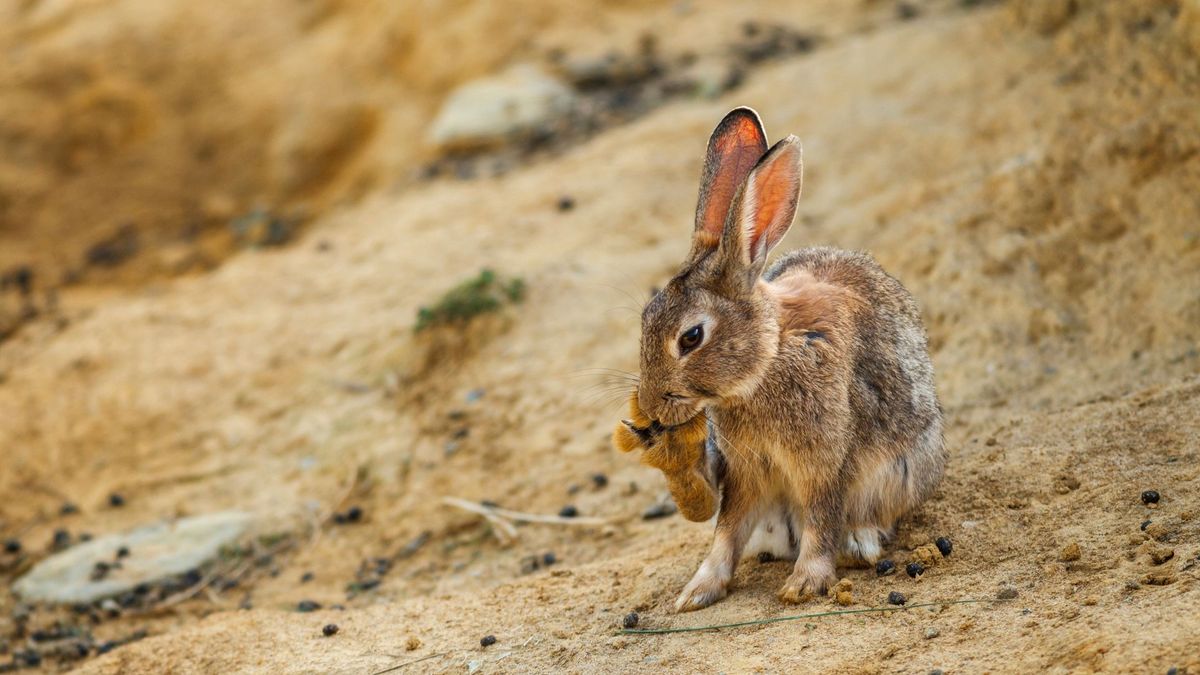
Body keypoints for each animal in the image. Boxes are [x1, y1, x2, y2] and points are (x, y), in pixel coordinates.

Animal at [625, 107, 945, 612]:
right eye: (644, 319)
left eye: (691, 337)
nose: (652, 406)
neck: (768, 356)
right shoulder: (746, 470)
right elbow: (727, 531)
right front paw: (697, 592)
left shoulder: (823, 461)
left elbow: (820, 518)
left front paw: (805, 584)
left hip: (906, 468)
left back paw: (858, 545)